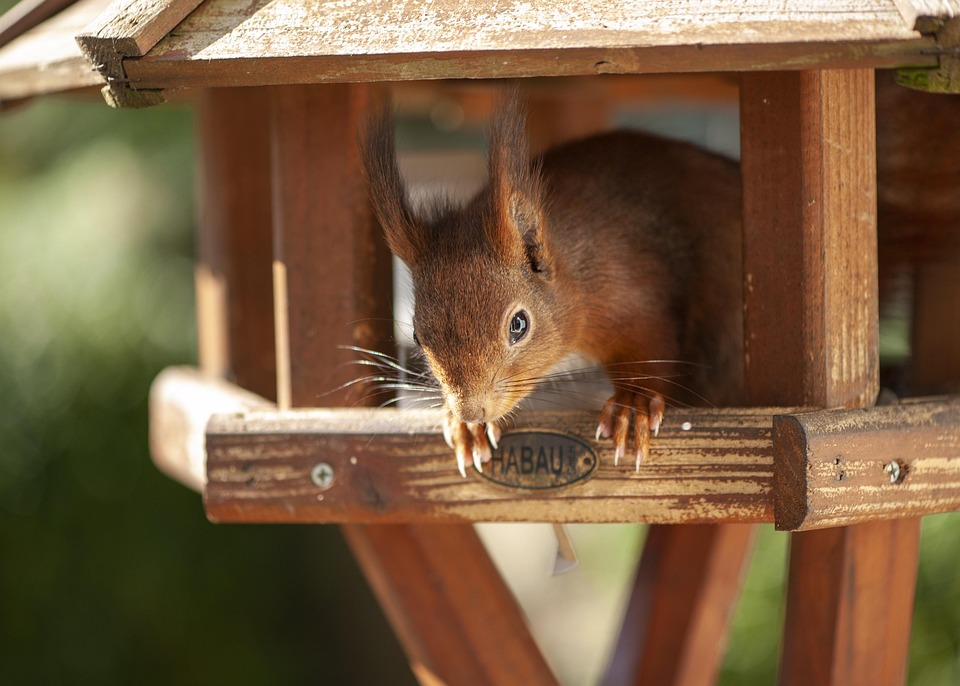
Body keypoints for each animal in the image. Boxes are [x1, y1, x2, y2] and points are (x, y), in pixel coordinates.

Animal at [362, 91, 744, 478]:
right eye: (416, 336)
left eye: (519, 325)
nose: (471, 411)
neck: (576, 276)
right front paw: (464, 428)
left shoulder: (633, 293)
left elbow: (653, 349)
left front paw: (633, 403)